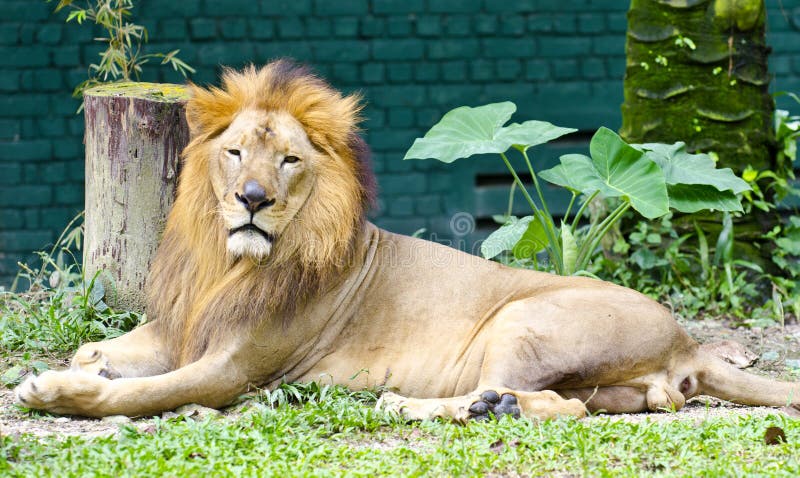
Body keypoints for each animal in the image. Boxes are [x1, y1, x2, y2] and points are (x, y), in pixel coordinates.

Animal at [15, 60, 800, 421]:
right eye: (236, 153)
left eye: (289, 161)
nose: (252, 201)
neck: (234, 262)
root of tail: (690, 342)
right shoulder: (188, 329)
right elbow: (109, 353)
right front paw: (85, 362)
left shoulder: (236, 367)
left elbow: (142, 393)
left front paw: (54, 388)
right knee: (575, 403)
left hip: (523, 318)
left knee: (546, 402)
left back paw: (421, 406)